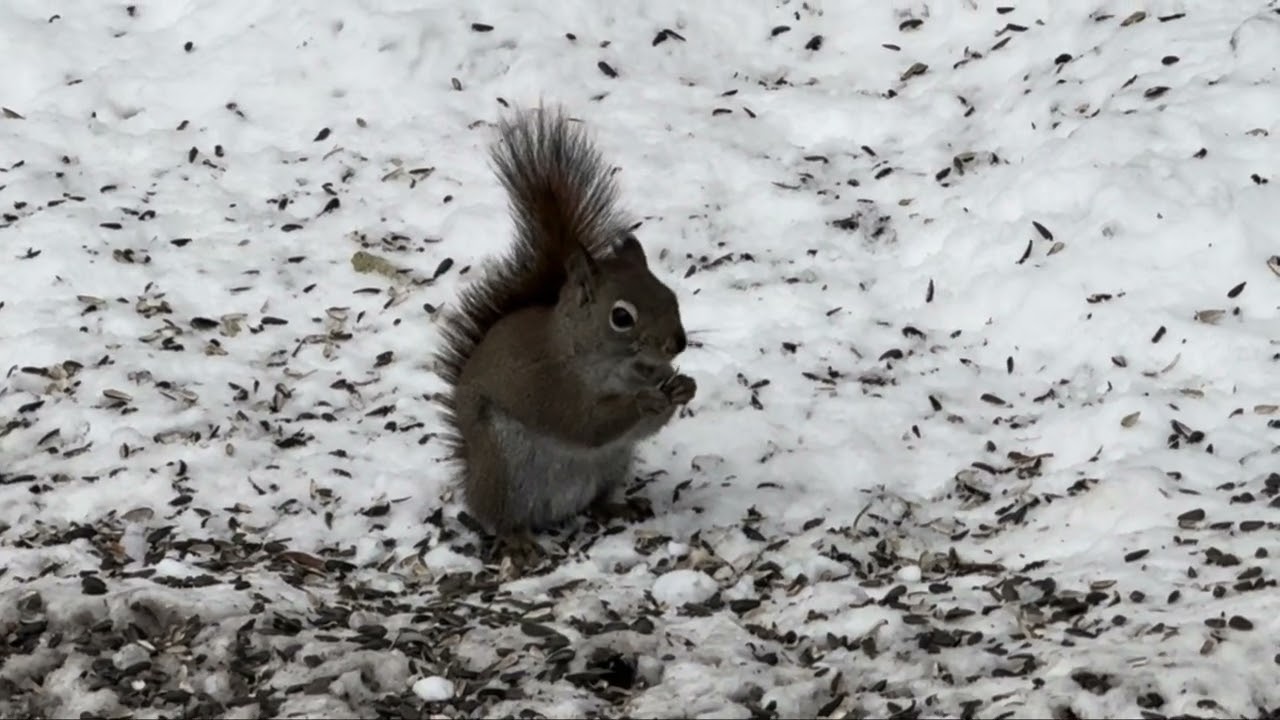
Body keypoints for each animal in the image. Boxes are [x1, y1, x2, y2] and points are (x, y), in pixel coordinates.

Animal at [435, 106, 696, 565]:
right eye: (621, 317)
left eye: (671, 296)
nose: (677, 344)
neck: (616, 368)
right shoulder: (550, 386)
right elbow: (586, 424)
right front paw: (644, 401)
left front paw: (684, 387)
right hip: (503, 468)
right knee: (500, 517)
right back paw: (518, 540)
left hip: (611, 467)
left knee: (597, 500)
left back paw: (618, 506)